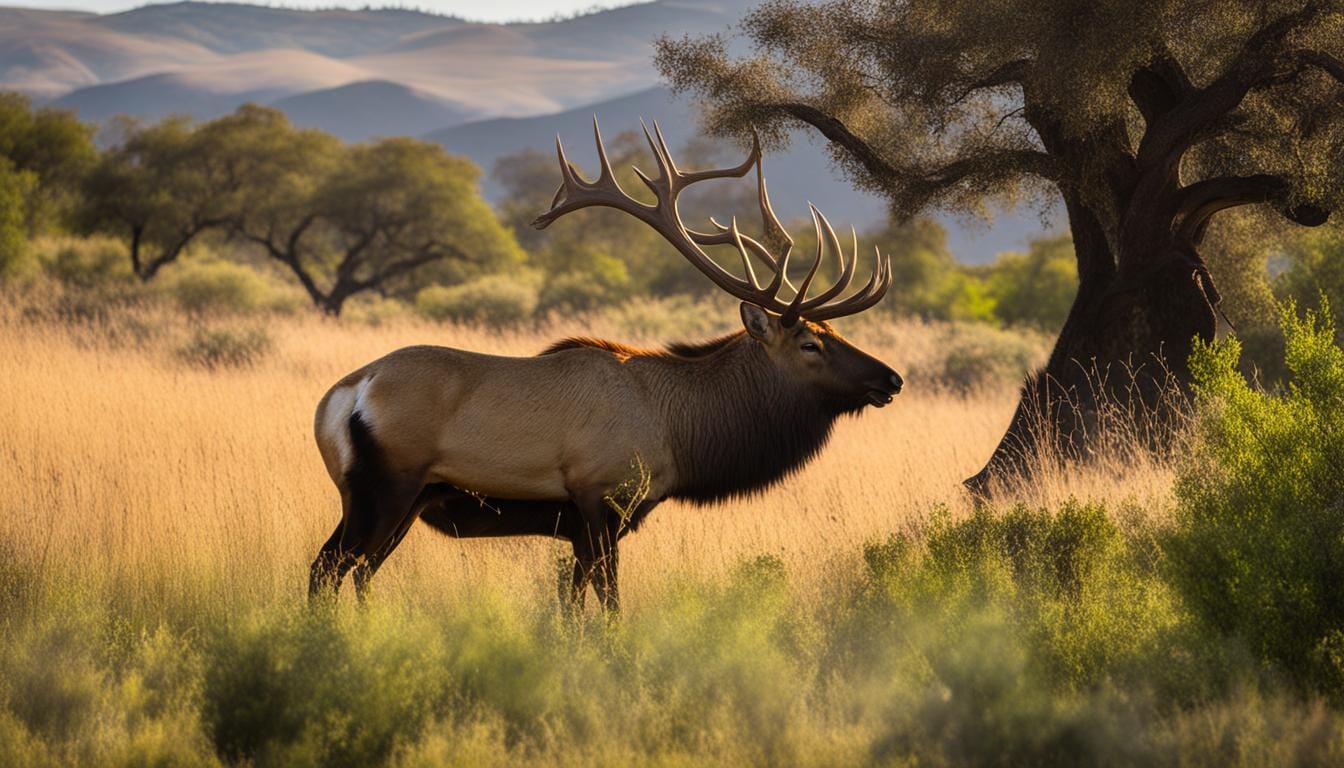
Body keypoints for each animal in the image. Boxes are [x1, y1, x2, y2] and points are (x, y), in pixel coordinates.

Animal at [308, 120, 904, 610]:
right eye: (809, 343)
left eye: (835, 333)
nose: (891, 378)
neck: (680, 432)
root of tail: (341, 397)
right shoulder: (600, 499)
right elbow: (609, 607)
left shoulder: (580, 525)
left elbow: (572, 609)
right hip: (384, 485)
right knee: (327, 569)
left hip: (396, 500)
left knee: (355, 573)